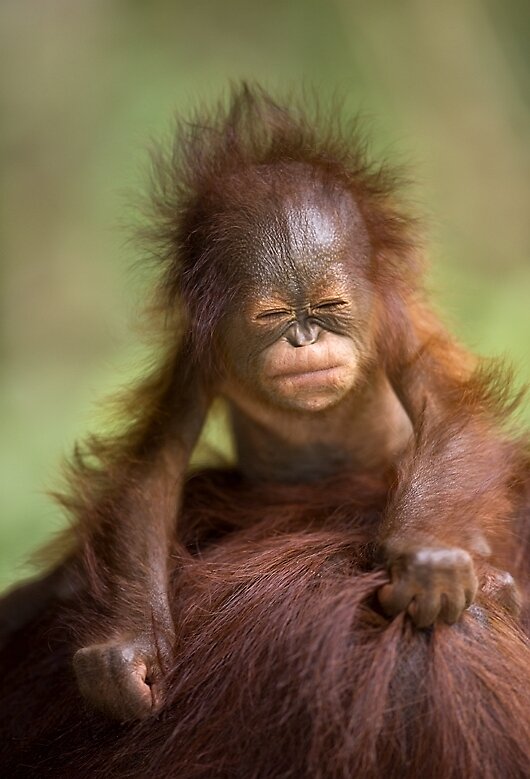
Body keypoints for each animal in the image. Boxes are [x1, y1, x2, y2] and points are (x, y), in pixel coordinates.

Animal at [0, 85, 526, 728]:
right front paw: (125, 650)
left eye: (328, 306)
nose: (305, 338)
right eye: (273, 314)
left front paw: (428, 559)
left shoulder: (393, 322)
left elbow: (444, 406)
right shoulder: (198, 358)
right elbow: (158, 463)